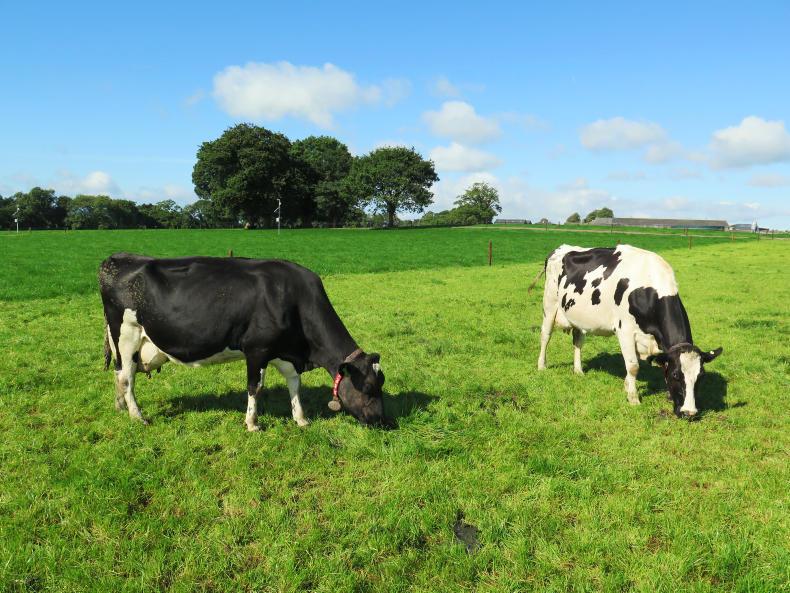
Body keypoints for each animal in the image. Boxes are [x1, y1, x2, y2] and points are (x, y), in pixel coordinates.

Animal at [99, 253, 385, 429]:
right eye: (368, 387)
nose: (382, 421)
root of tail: (117, 259)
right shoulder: (257, 349)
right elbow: (254, 387)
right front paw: (252, 423)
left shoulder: (284, 352)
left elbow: (294, 384)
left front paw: (301, 419)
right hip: (127, 335)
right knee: (126, 377)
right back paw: (138, 416)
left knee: (118, 373)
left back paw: (120, 407)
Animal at [536, 244, 722, 417]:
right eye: (676, 375)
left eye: (701, 376)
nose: (689, 413)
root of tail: (561, 248)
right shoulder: (624, 330)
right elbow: (633, 366)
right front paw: (633, 398)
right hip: (549, 304)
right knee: (545, 336)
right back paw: (541, 366)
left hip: (579, 316)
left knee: (578, 342)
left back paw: (578, 370)